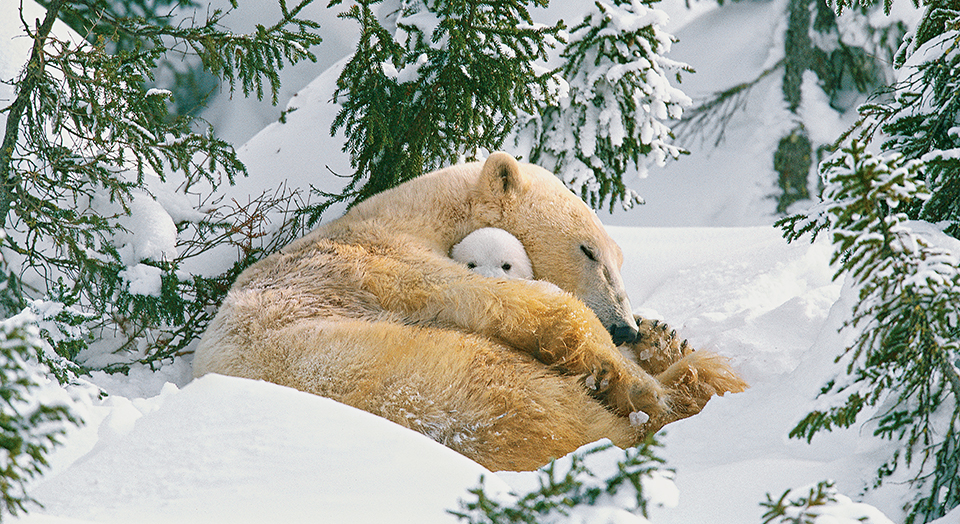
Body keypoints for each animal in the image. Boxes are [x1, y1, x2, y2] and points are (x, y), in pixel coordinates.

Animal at [193, 152, 747, 471]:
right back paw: (682, 390)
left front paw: (659, 335)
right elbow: (520, 303)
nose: (624, 327)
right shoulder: (381, 262)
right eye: (589, 251)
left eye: (620, 260)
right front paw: (637, 381)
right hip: (429, 377)